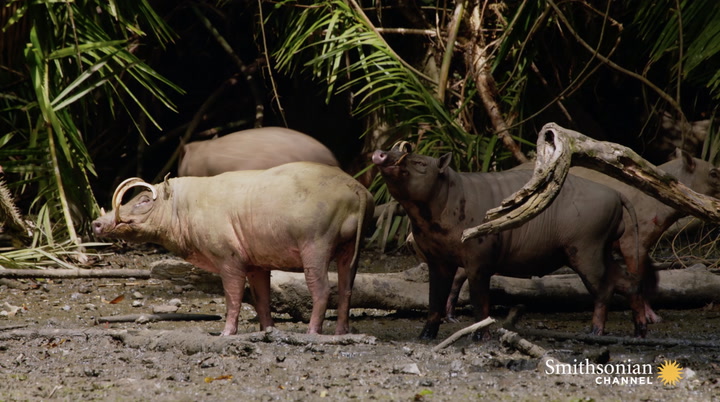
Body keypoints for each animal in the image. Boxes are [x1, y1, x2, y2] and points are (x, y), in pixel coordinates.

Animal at [92, 162, 374, 336]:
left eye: (143, 200)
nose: (96, 223)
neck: (183, 207)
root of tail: (357, 189)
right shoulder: (257, 263)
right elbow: (261, 298)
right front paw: (268, 331)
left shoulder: (228, 257)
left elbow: (233, 296)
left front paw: (226, 333)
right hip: (351, 247)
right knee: (347, 288)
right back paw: (341, 332)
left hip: (316, 243)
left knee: (323, 289)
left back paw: (312, 332)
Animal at [372, 145, 646, 339]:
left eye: (420, 163)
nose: (381, 153)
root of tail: (617, 194)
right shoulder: (438, 261)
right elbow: (434, 300)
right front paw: (424, 337)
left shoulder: (479, 260)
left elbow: (479, 301)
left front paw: (481, 338)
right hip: (601, 249)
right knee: (627, 282)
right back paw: (639, 331)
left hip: (586, 249)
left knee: (604, 289)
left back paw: (595, 332)